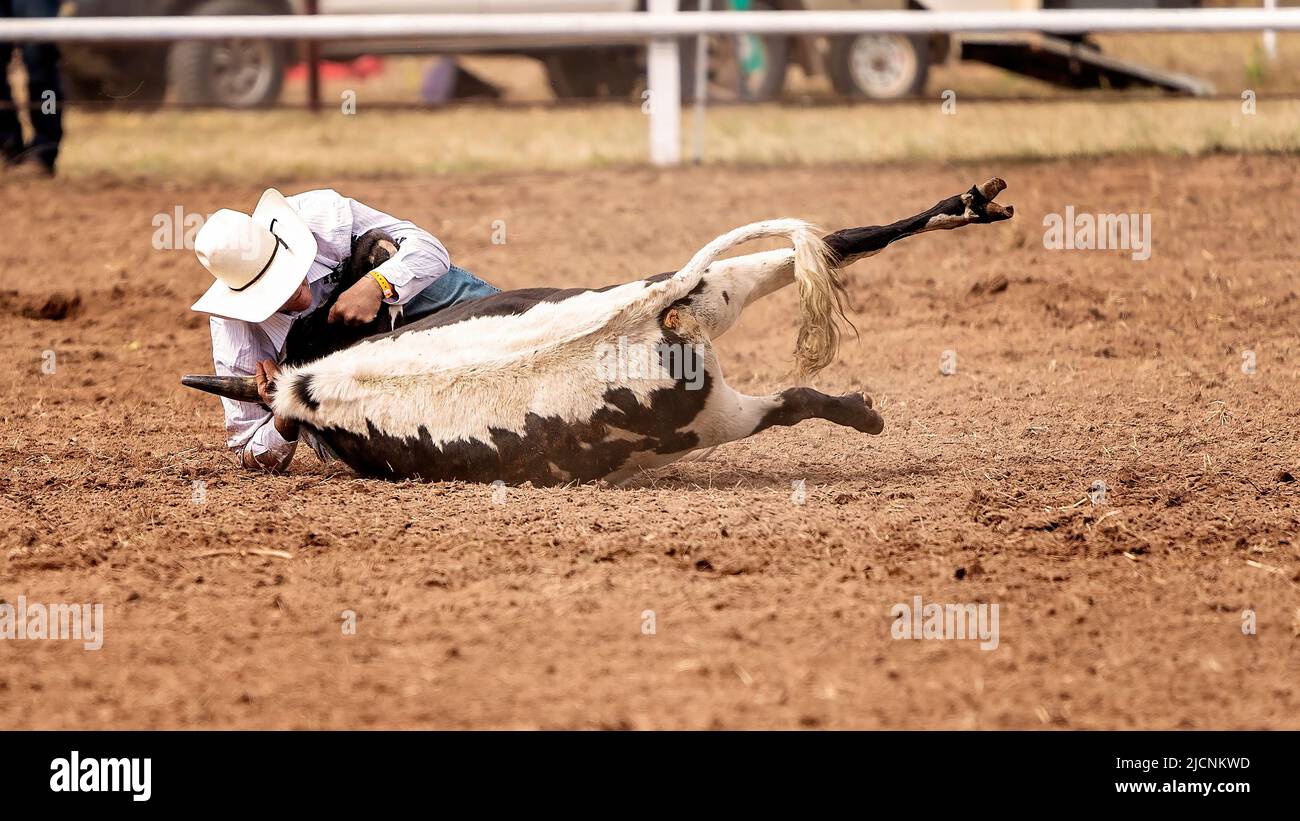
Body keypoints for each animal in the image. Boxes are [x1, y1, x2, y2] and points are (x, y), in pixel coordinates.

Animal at [183, 178, 1013, 486]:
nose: (372, 247)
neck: (313, 387)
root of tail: (651, 307)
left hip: (715, 417)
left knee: (792, 401)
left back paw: (865, 417)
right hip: (723, 290)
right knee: (845, 240)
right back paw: (968, 206)